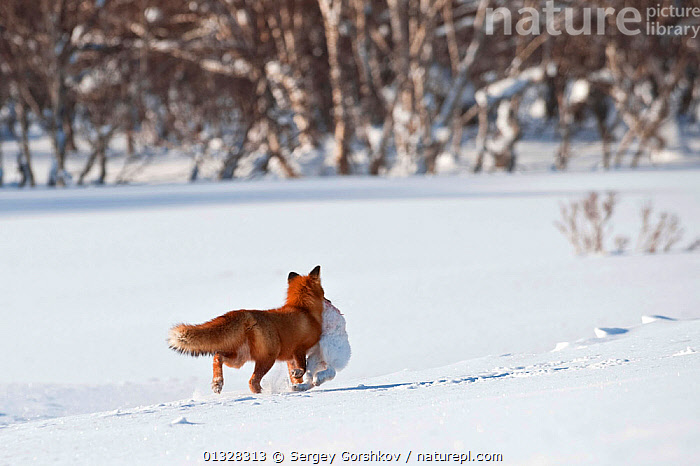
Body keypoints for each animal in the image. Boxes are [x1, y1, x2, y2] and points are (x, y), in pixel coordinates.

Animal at [168, 266, 325, 394]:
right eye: (323, 293)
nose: (328, 300)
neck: (303, 309)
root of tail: (246, 313)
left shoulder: (289, 358)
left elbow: (296, 378)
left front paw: (298, 387)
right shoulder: (298, 349)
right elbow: (303, 368)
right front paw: (299, 379)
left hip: (239, 360)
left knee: (217, 356)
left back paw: (217, 383)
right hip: (268, 358)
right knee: (252, 381)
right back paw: (262, 393)